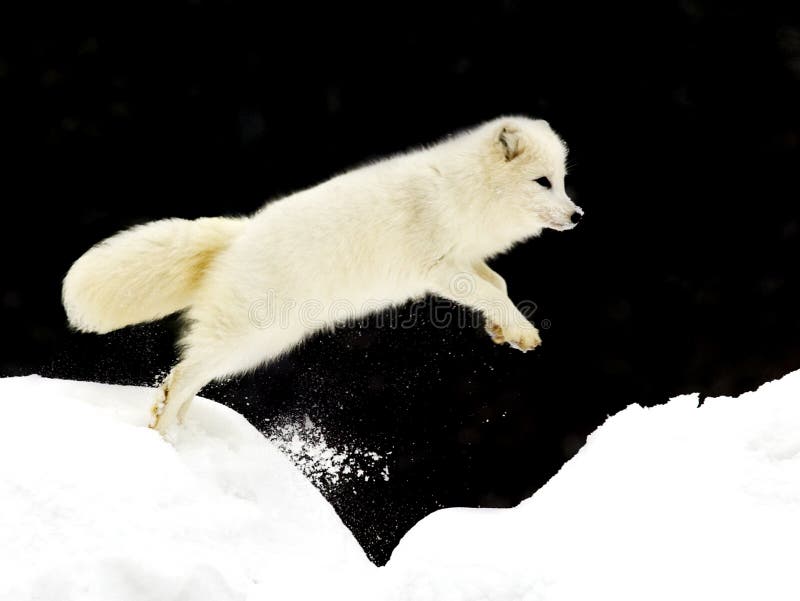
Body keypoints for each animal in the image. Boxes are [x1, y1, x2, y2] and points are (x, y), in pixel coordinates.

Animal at [62, 116, 582, 434]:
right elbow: (493, 293)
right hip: (253, 339)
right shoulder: (438, 269)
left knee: (188, 376)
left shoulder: (466, 260)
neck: (462, 192)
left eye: (561, 180)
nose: (577, 215)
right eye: (542, 181)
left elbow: (500, 286)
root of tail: (240, 233)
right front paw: (522, 330)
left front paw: (502, 331)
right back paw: (164, 429)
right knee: (181, 374)